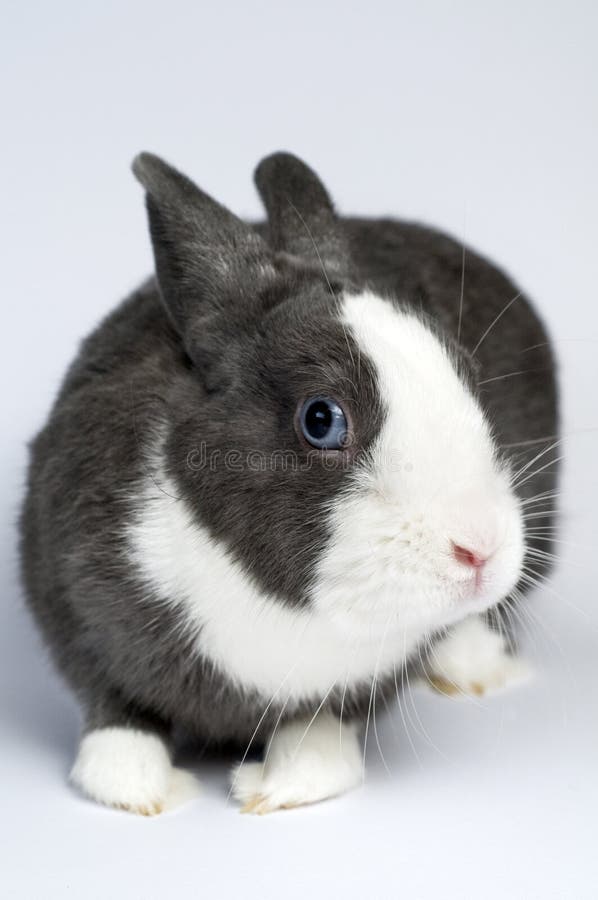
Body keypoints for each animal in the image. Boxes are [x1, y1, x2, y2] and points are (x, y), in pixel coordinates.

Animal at [19, 151, 559, 816]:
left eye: (469, 376)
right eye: (321, 419)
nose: (480, 549)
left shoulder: (360, 683)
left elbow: (320, 726)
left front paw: (281, 788)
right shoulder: (73, 608)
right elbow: (115, 708)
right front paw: (140, 791)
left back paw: (473, 668)